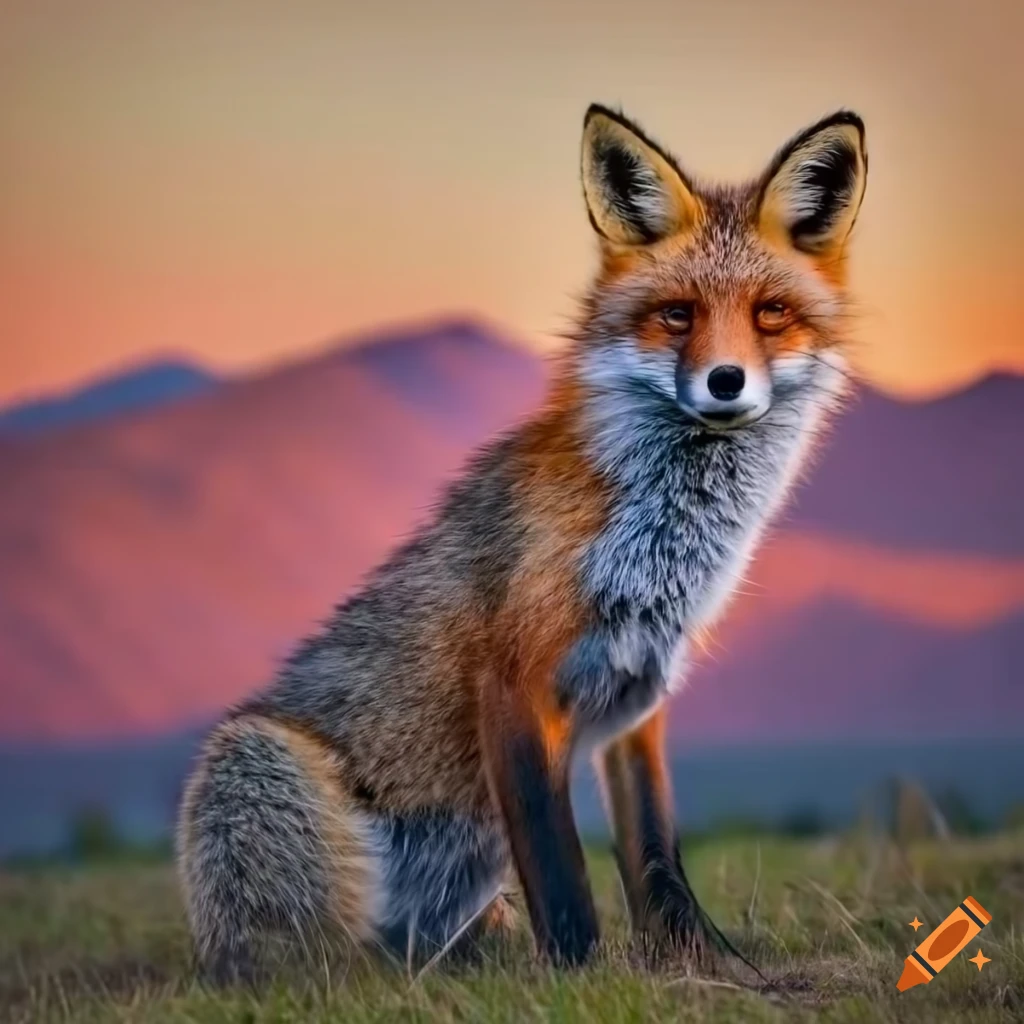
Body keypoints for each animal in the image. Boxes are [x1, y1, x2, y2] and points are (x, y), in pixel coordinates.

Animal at [177, 103, 868, 981]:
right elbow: (559, 867)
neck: (657, 543)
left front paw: (707, 966)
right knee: (314, 964)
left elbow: (658, 861)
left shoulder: (639, 696)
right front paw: (580, 975)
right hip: (254, 760)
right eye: (676, 314)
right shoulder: (512, 681)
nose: (725, 382)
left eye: (770, 313)